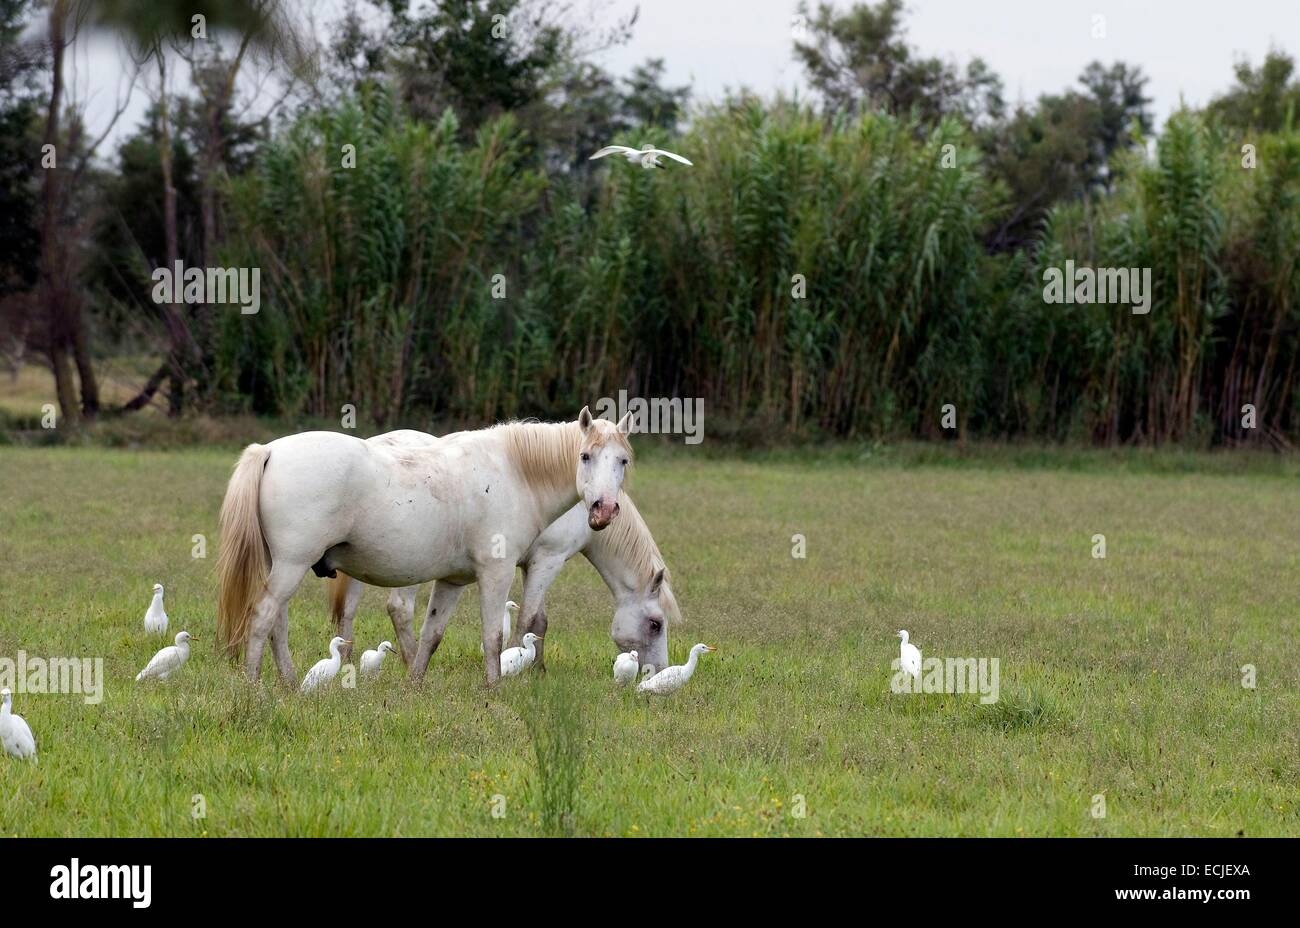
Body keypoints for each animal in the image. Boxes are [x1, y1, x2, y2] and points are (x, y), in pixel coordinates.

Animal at [215, 409, 633, 686]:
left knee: (277, 622)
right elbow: (493, 636)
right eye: (584, 456)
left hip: (282, 565)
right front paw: (495, 687)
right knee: (264, 616)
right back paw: (254, 684)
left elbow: (432, 635)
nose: (604, 509)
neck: (515, 472)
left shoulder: (451, 581)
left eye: (624, 460)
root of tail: (270, 450)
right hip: (292, 564)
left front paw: (414, 683)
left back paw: (288, 681)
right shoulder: (496, 573)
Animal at [327, 431, 682, 674]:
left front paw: (537, 669)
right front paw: (523, 666)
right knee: (399, 608)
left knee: (348, 610)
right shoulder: (548, 561)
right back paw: (411, 660)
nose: (658, 671)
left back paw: (347, 661)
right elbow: (532, 621)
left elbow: (539, 620)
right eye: (655, 624)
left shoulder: (530, 564)